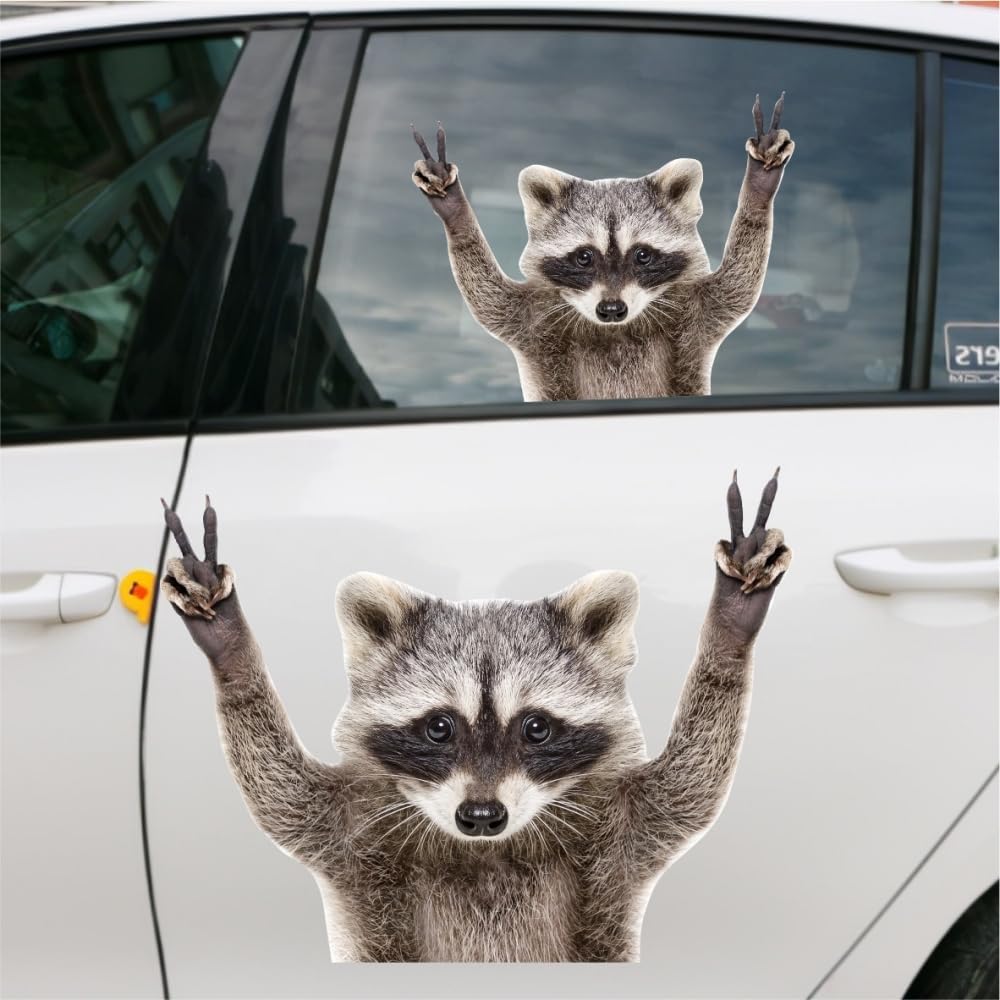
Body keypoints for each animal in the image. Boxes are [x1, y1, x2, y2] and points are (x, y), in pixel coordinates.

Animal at [160, 471, 790, 962]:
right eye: (439, 727)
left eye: (536, 727)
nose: (482, 816)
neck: (488, 854)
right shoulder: (350, 835)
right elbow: (280, 791)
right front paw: (231, 648)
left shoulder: (624, 834)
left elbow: (691, 782)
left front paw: (731, 624)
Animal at [411, 94, 794, 400]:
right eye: (584, 257)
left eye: (642, 255)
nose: (611, 310)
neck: (615, 332)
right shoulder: (533, 321)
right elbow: (489, 298)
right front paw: (454, 210)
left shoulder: (697, 316)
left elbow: (738, 284)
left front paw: (759, 184)